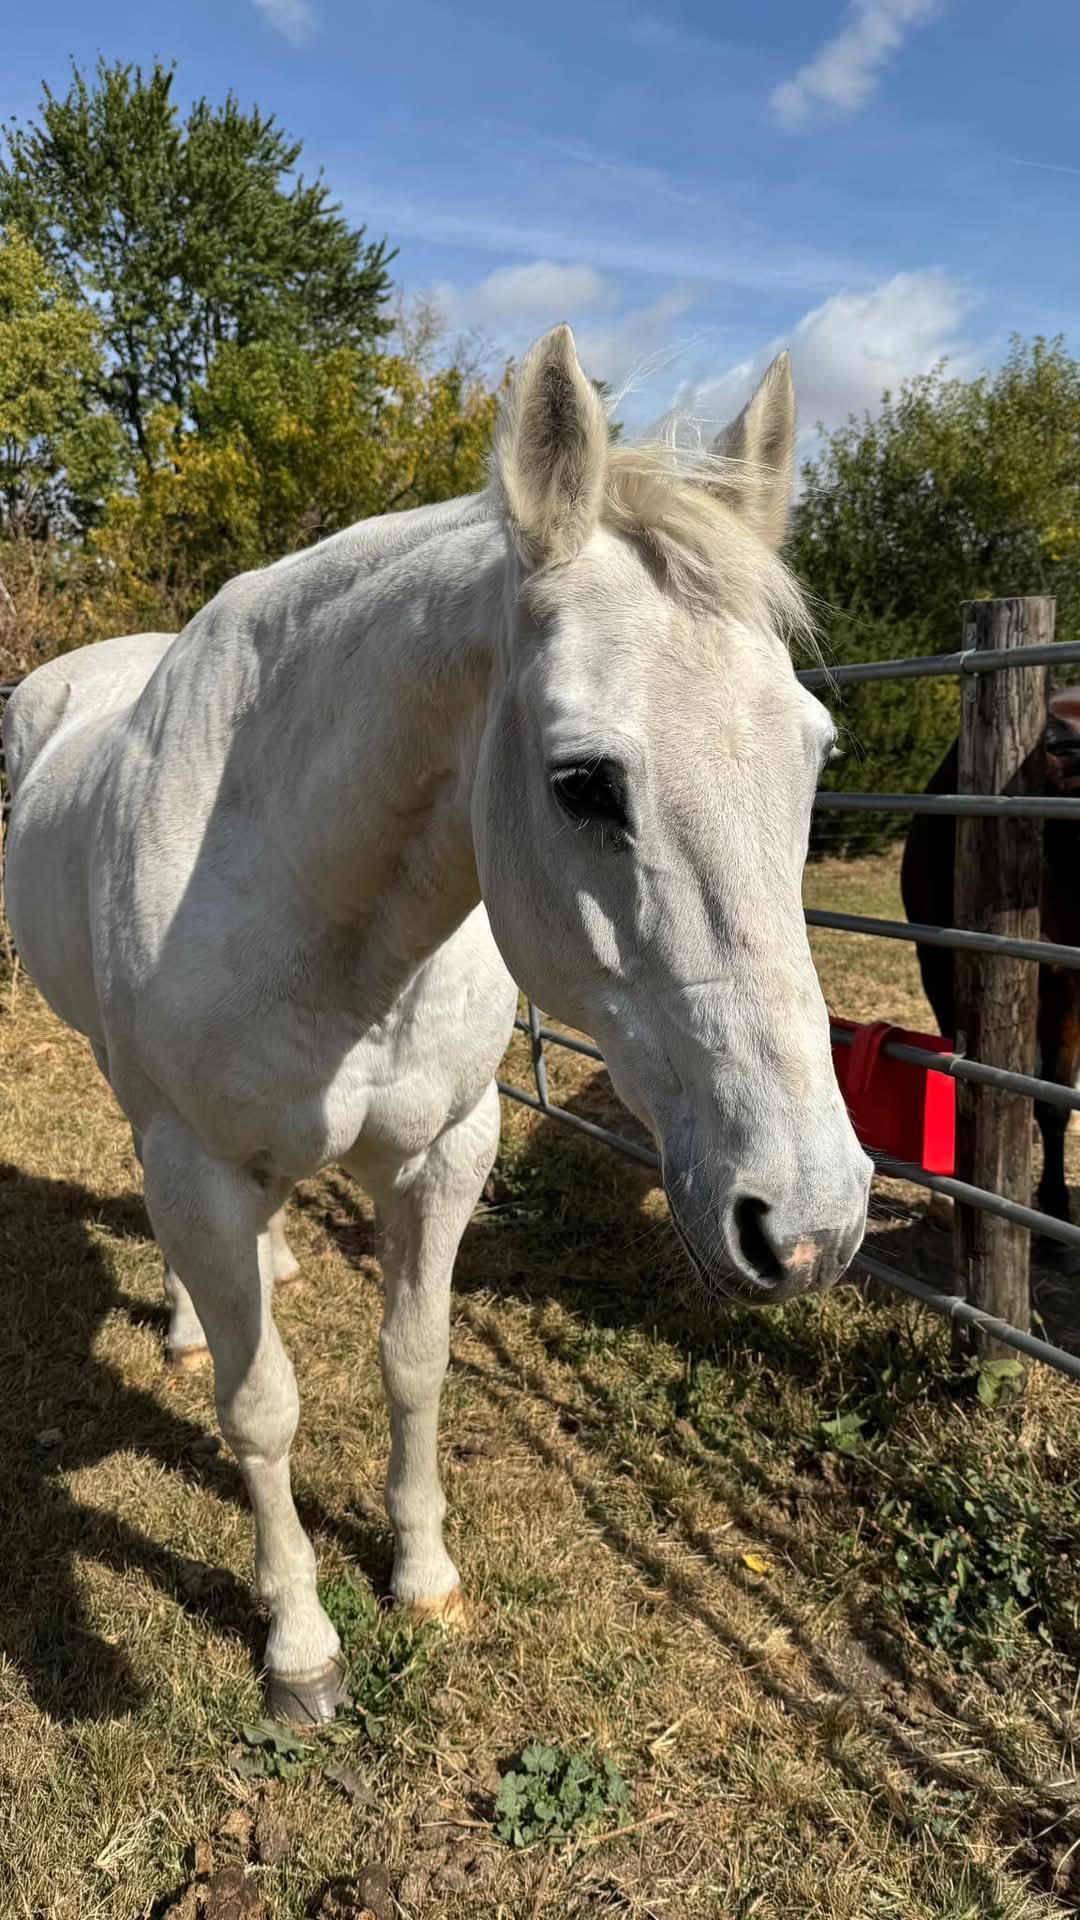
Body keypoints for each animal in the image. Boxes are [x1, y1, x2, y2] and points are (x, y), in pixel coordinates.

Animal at [3, 326, 871, 1722]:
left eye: (815, 752)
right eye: (583, 783)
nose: (810, 1225)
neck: (320, 906)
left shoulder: (445, 1152)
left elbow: (415, 1361)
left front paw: (422, 1576)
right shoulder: (198, 1165)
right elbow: (262, 1407)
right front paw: (301, 1650)